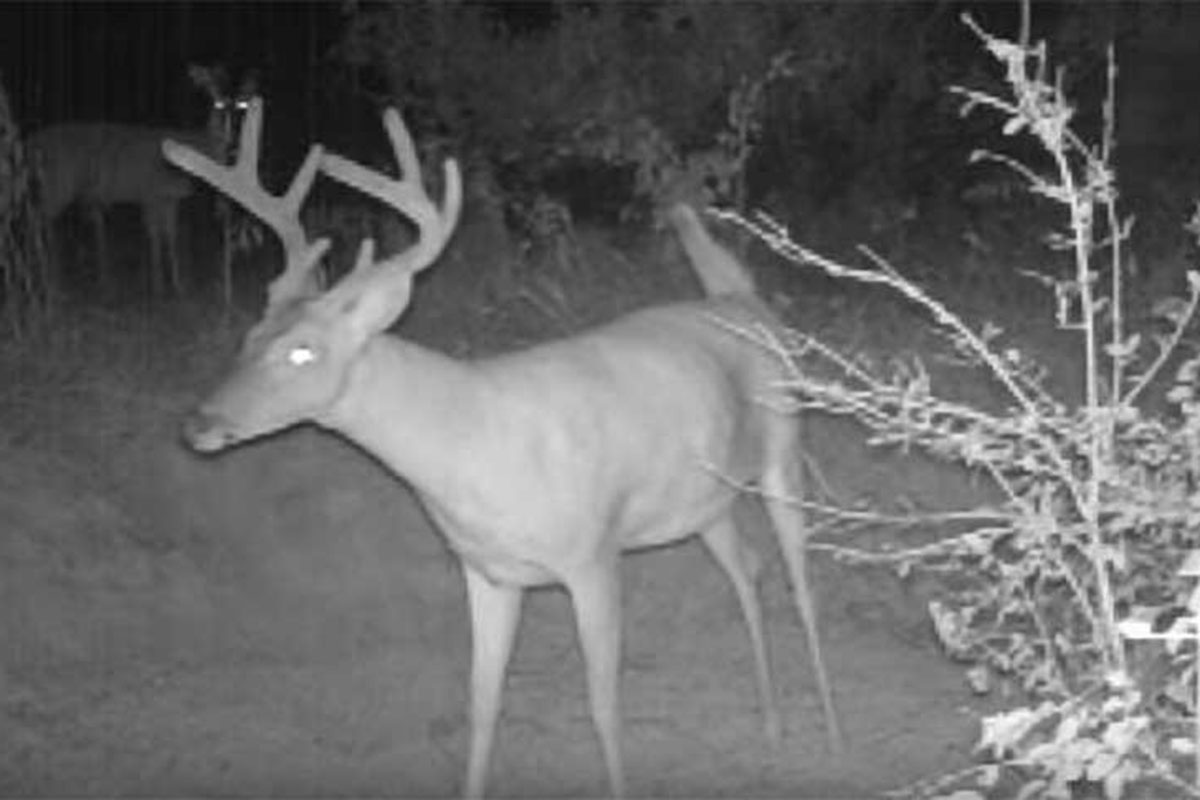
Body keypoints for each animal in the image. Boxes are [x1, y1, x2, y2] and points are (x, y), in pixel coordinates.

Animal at [28, 65, 254, 296]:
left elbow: (170, 237)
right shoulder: (151, 192)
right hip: (59, 183)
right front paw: (157, 287)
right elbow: (155, 237)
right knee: (38, 221)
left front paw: (178, 286)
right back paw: (51, 285)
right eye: (216, 99)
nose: (231, 135)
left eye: (242, 104)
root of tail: (32, 142)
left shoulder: (169, 199)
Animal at [165, 98, 842, 799]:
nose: (198, 423)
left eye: (302, 351)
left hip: (783, 449)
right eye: (249, 336)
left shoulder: (592, 554)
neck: (473, 452)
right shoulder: (488, 571)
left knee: (803, 586)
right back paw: (771, 727)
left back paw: (832, 736)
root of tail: (744, 299)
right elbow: (483, 702)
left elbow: (603, 705)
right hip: (701, 503)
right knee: (749, 569)